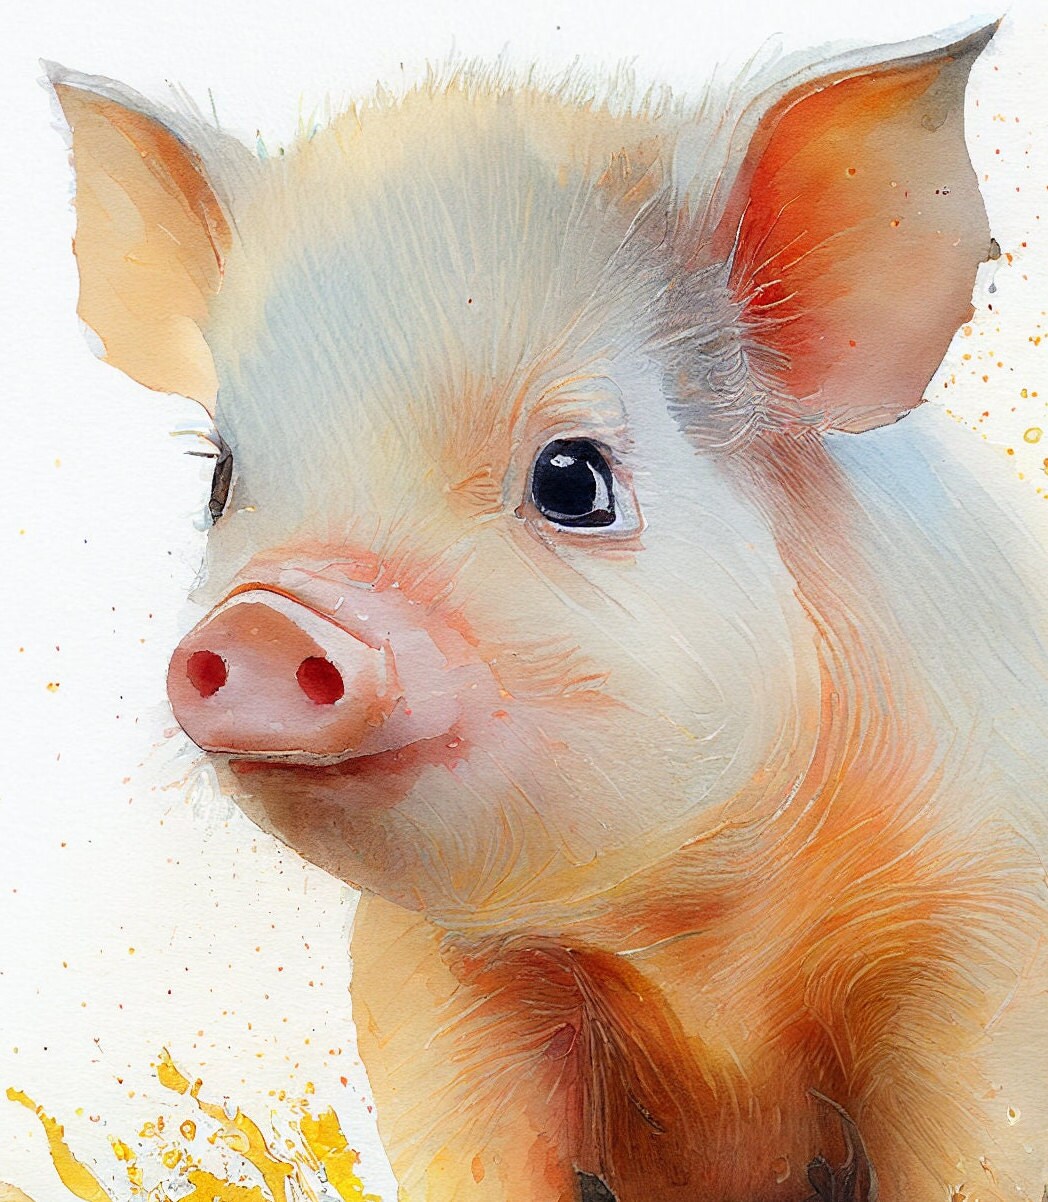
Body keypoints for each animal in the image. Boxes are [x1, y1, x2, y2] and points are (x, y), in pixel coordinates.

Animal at [46, 21, 1048, 1202]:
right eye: (219, 477)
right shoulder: (438, 979)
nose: (264, 619)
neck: (690, 951)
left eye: (573, 478)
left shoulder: (987, 945)